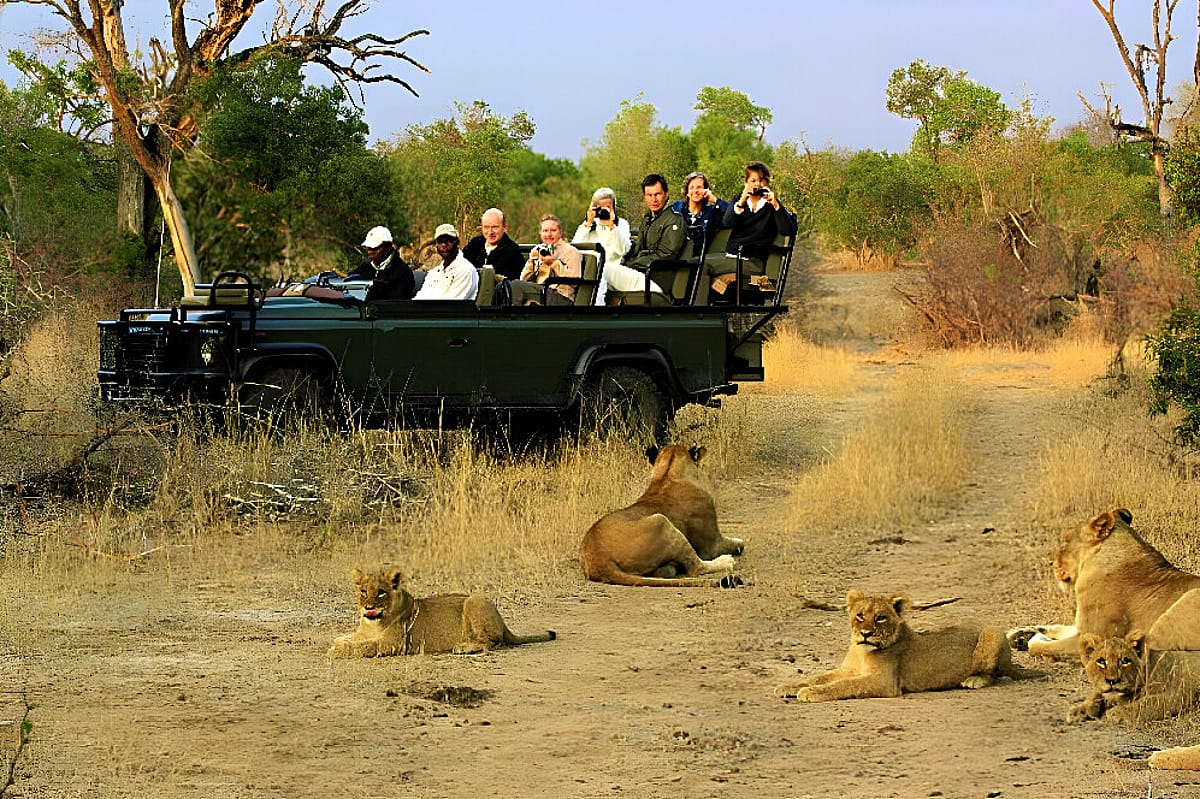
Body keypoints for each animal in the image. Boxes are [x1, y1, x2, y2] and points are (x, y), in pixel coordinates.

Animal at [327, 569, 556, 658]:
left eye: (381, 592)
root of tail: (503, 623)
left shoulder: (393, 644)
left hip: (475, 599)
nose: (368, 607)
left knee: (493, 641)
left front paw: (335, 651)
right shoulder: (363, 633)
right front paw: (338, 641)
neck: (373, 623)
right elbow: (348, 637)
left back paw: (463, 647)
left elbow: (364, 646)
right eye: (363, 592)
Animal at [579, 444, 745, 588]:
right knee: (696, 567)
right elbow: (740, 544)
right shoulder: (712, 545)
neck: (667, 475)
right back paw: (726, 561)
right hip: (662, 521)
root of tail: (600, 561)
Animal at [774, 589, 1041, 701]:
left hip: (993, 632)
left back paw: (972, 680)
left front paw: (811, 693)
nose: (866, 634)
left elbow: (843, 685)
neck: (861, 652)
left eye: (880, 618)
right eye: (860, 615)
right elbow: (818, 677)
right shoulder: (848, 669)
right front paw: (789, 686)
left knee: (995, 673)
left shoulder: (884, 682)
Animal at [1010, 509, 1200, 658]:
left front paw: (1030, 638)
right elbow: (1058, 627)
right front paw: (1024, 632)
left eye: (1066, 540)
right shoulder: (1080, 627)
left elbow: (1039, 647)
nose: (1050, 562)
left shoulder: (1094, 636)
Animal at [1067, 631, 1200, 725]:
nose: (1112, 680)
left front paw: (1116, 712)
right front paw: (1078, 711)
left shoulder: (1179, 693)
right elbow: (1095, 695)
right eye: (1101, 661)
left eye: (1125, 661)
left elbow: (1147, 703)